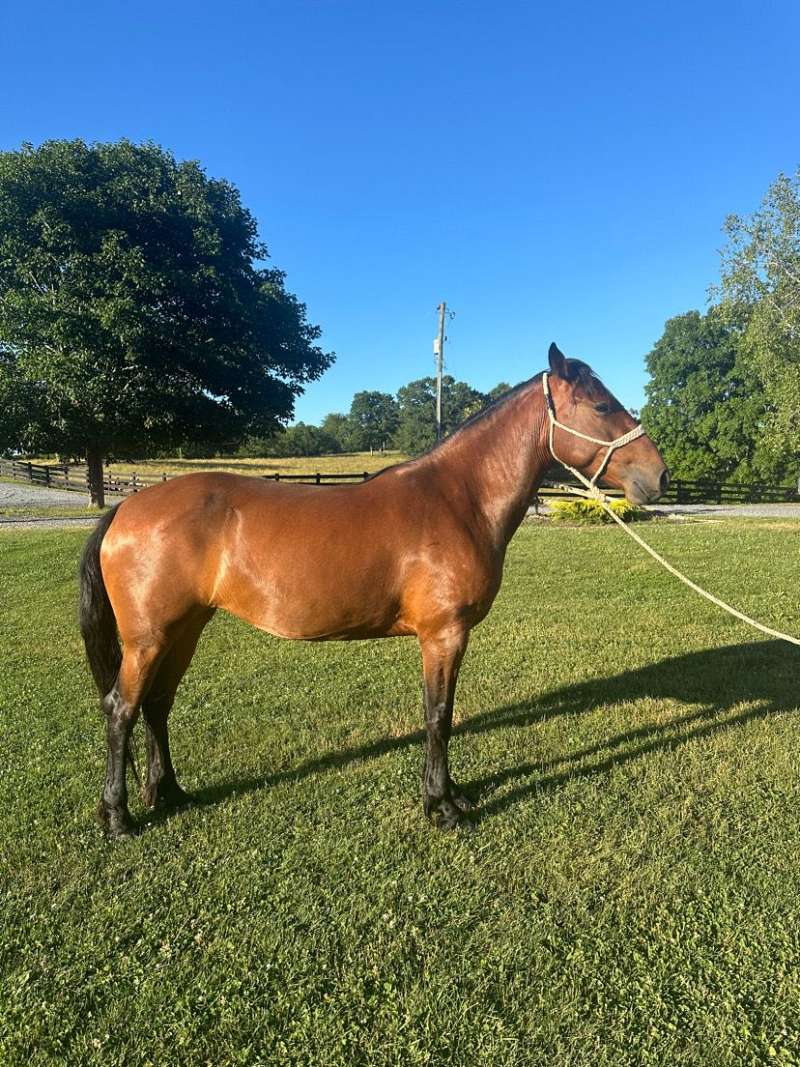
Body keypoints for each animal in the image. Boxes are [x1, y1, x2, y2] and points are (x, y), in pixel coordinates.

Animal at [79, 343, 668, 838]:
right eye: (601, 406)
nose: (659, 477)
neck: (459, 498)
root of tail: (126, 509)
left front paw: (452, 795)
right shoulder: (443, 635)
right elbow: (439, 717)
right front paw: (442, 807)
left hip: (185, 630)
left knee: (157, 706)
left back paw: (169, 794)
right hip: (149, 639)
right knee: (121, 710)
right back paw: (118, 817)